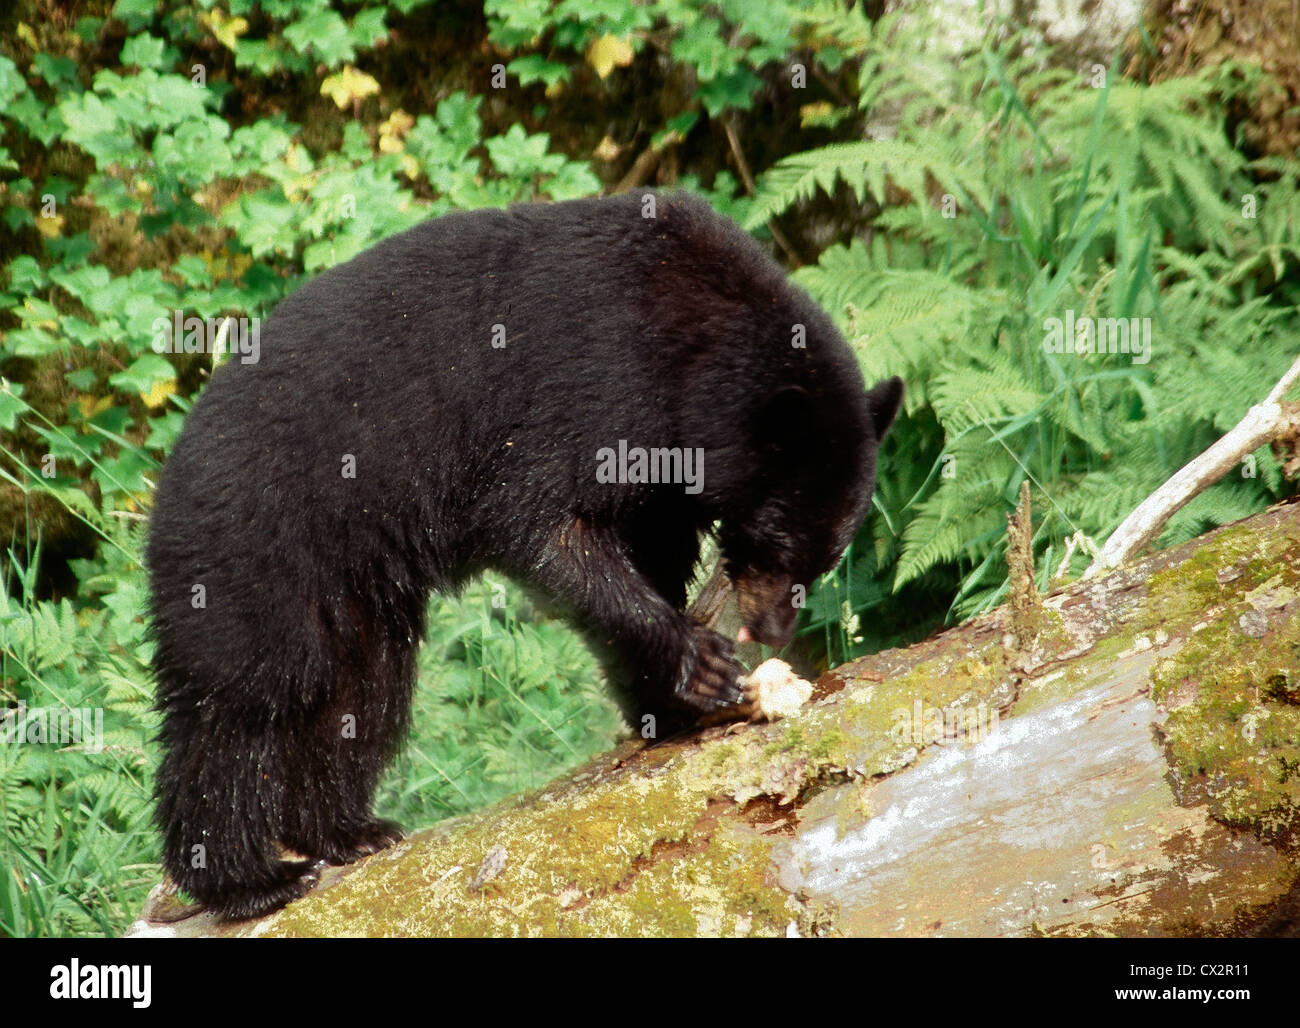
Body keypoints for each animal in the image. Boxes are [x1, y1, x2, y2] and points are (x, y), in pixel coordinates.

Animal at [146, 190, 903, 919]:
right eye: (775, 544)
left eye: (826, 556)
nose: (771, 631)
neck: (690, 351)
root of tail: (169, 471)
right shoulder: (589, 387)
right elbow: (544, 526)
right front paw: (699, 662)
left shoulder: (660, 476)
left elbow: (648, 550)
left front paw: (668, 703)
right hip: (262, 546)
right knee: (244, 703)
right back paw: (247, 879)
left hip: (358, 590)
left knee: (362, 693)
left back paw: (349, 830)